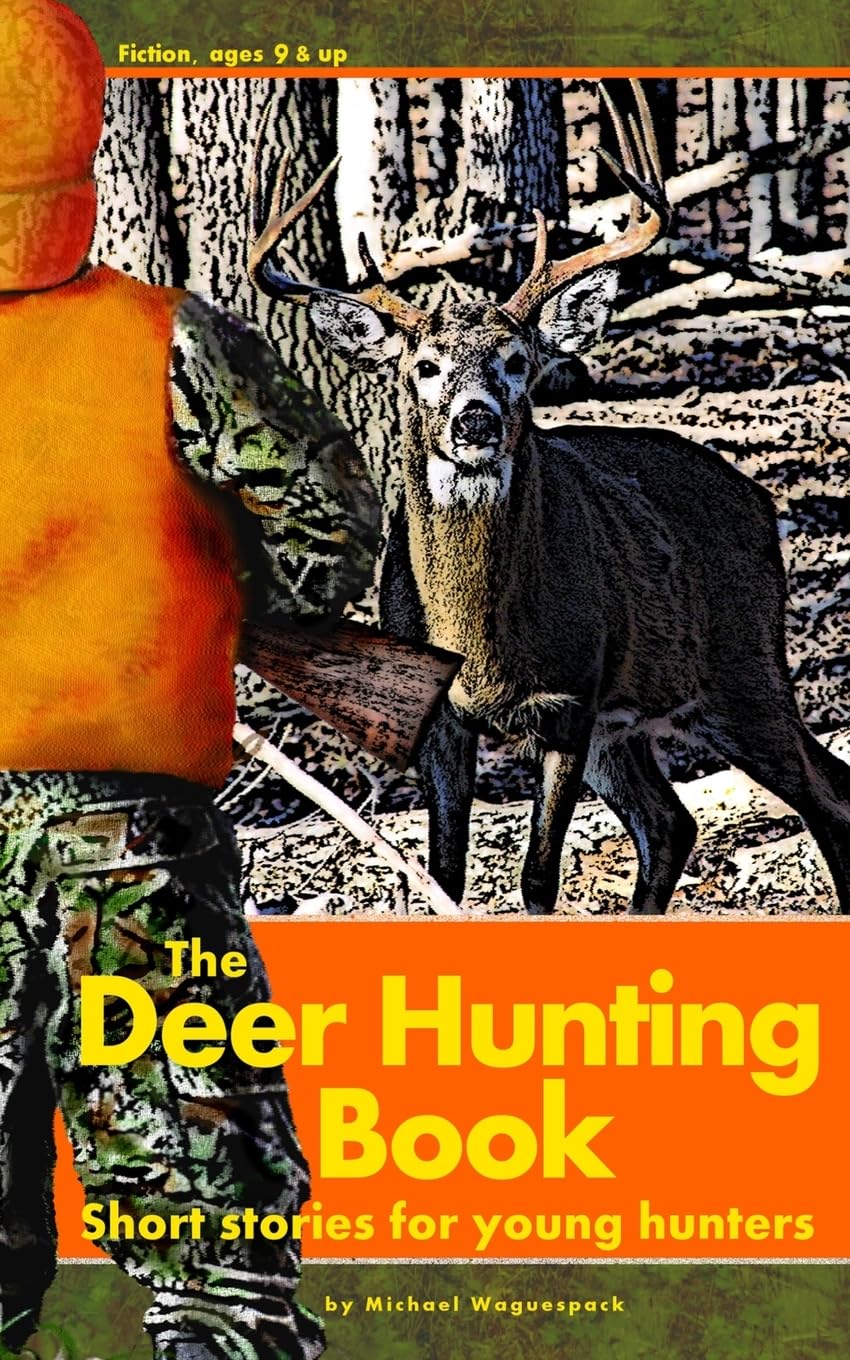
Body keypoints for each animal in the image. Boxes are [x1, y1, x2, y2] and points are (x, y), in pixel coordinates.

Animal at [247, 81, 850, 916]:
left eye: (515, 358)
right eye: (425, 365)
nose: (475, 421)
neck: (481, 645)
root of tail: (762, 502)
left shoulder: (572, 699)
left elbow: (538, 880)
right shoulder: (444, 717)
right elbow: (445, 872)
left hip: (743, 667)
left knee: (825, 796)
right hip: (636, 722)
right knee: (674, 823)